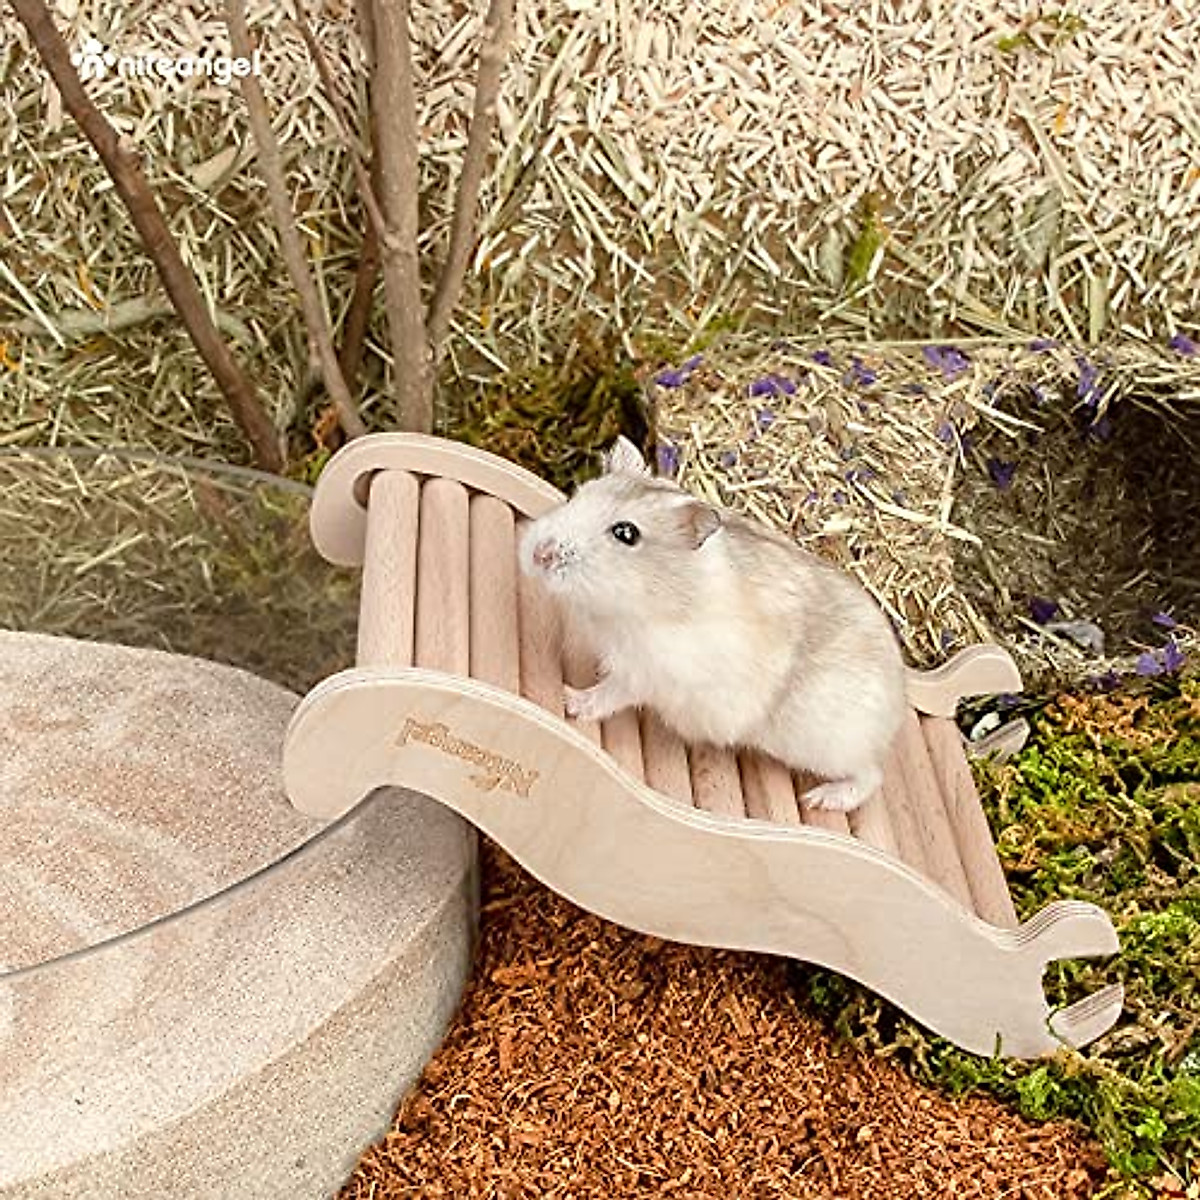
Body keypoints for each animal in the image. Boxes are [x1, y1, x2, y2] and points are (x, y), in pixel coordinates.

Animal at [518, 436, 906, 811]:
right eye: (577, 496)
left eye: (626, 533)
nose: (539, 554)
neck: (646, 599)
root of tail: (895, 709)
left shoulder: (648, 672)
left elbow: (611, 693)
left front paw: (569, 699)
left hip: (826, 745)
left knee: (871, 778)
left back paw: (819, 800)